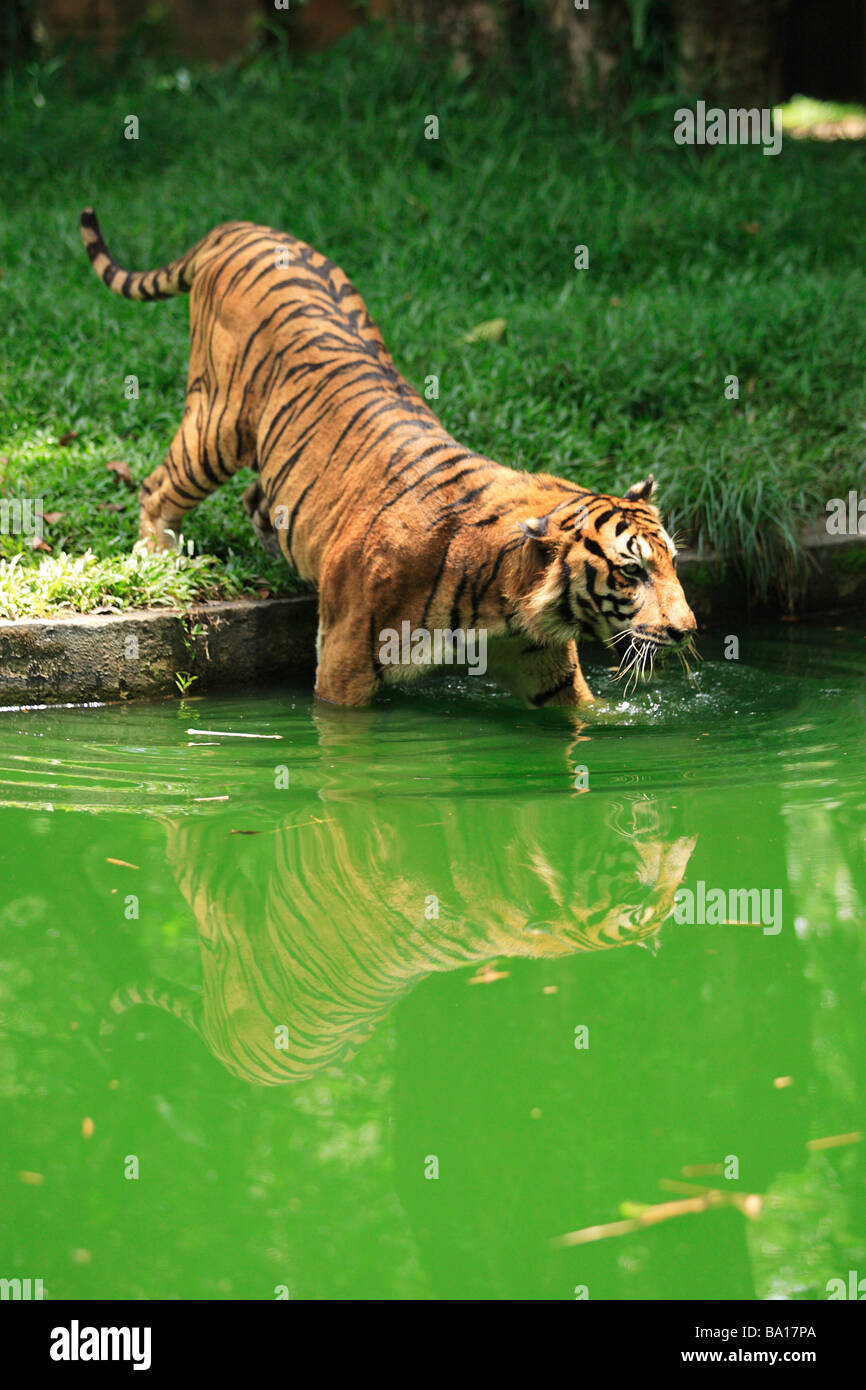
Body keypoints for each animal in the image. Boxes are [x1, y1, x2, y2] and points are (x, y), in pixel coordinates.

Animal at [80, 209, 696, 707]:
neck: (505, 598)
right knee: (157, 488)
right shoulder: (348, 655)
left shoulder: (542, 660)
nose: (689, 630)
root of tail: (240, 227)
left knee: (257, 497)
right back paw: (158, 556)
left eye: (671, 563)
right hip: (218, 422)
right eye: (632, 571)